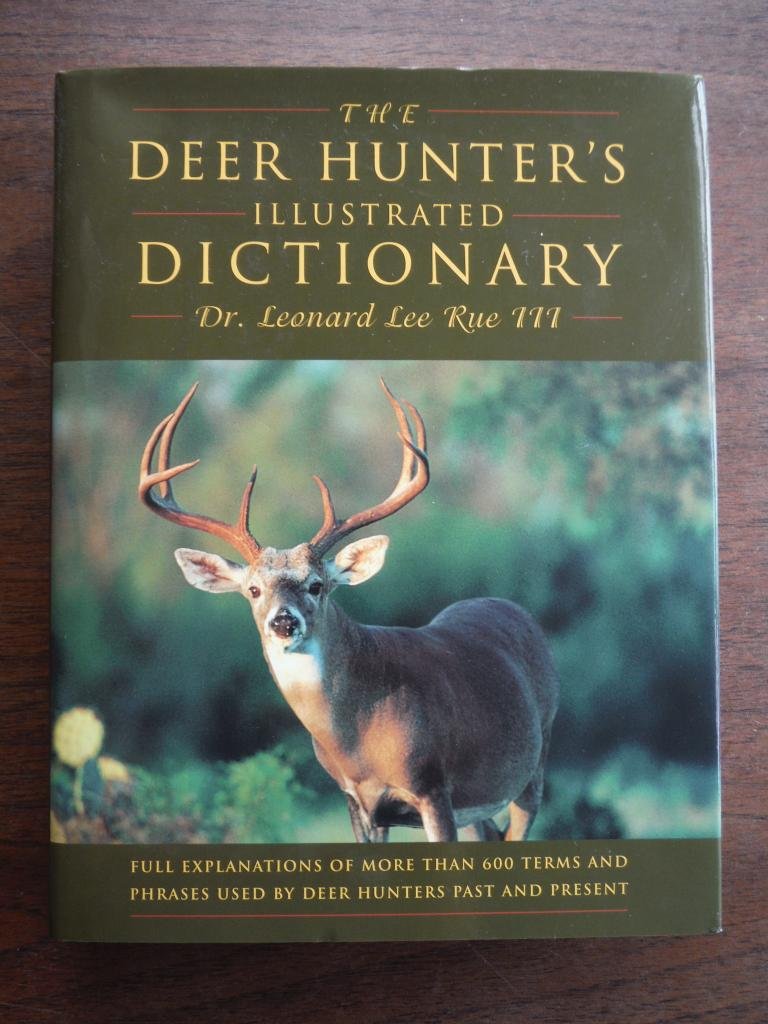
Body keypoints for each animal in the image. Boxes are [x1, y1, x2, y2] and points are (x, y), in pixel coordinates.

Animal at [139, 379, 559, 842]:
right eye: (253, 589)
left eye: (316, 585)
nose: (283, 622)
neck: (356, 740)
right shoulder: (357, 800)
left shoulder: (432, 785)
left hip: (532, 768)